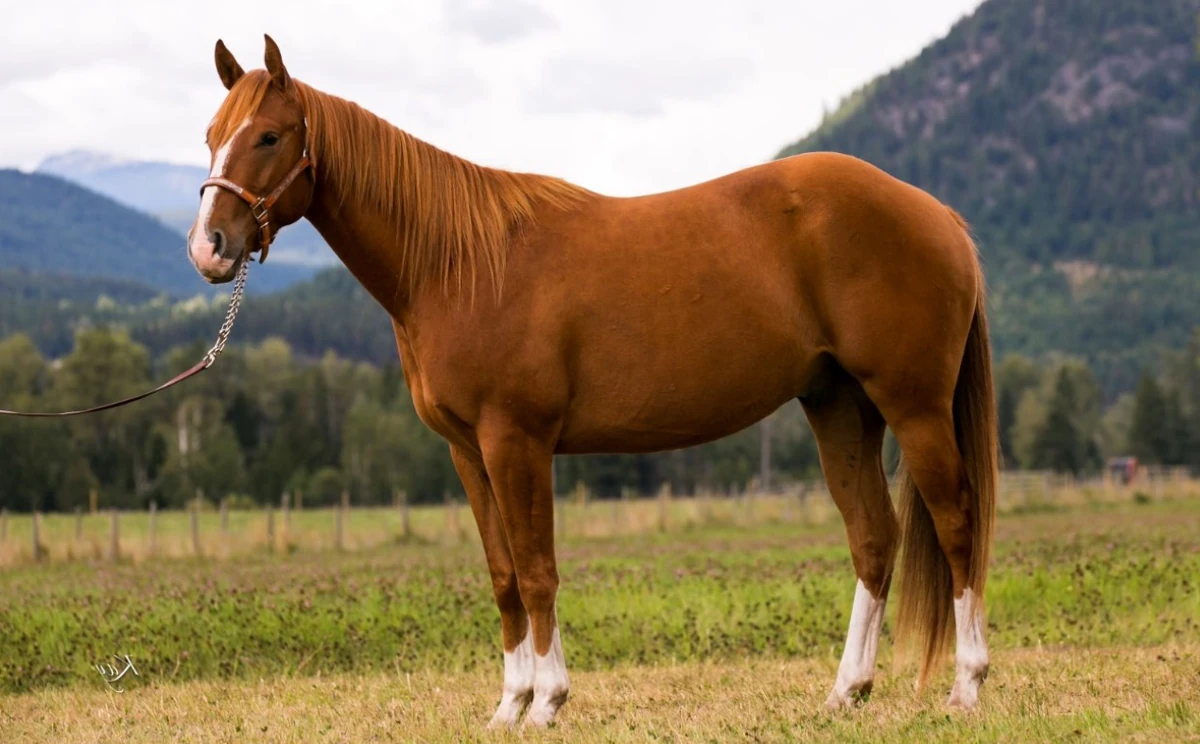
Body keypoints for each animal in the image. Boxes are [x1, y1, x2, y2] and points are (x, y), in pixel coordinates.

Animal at [189, 36, 997, 728]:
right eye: (210, 134)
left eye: (269, 137)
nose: (209, 247)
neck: (458, 265)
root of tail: (939, 214)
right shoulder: (467, 452)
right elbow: (504, 574)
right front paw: (508, 705)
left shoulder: (516, 442)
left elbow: (538, 569)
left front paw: (547, 701)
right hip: (839, 405)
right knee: (873, 536)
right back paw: (847, 690)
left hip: (914, 405)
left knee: (956, 520)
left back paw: (966, 686)